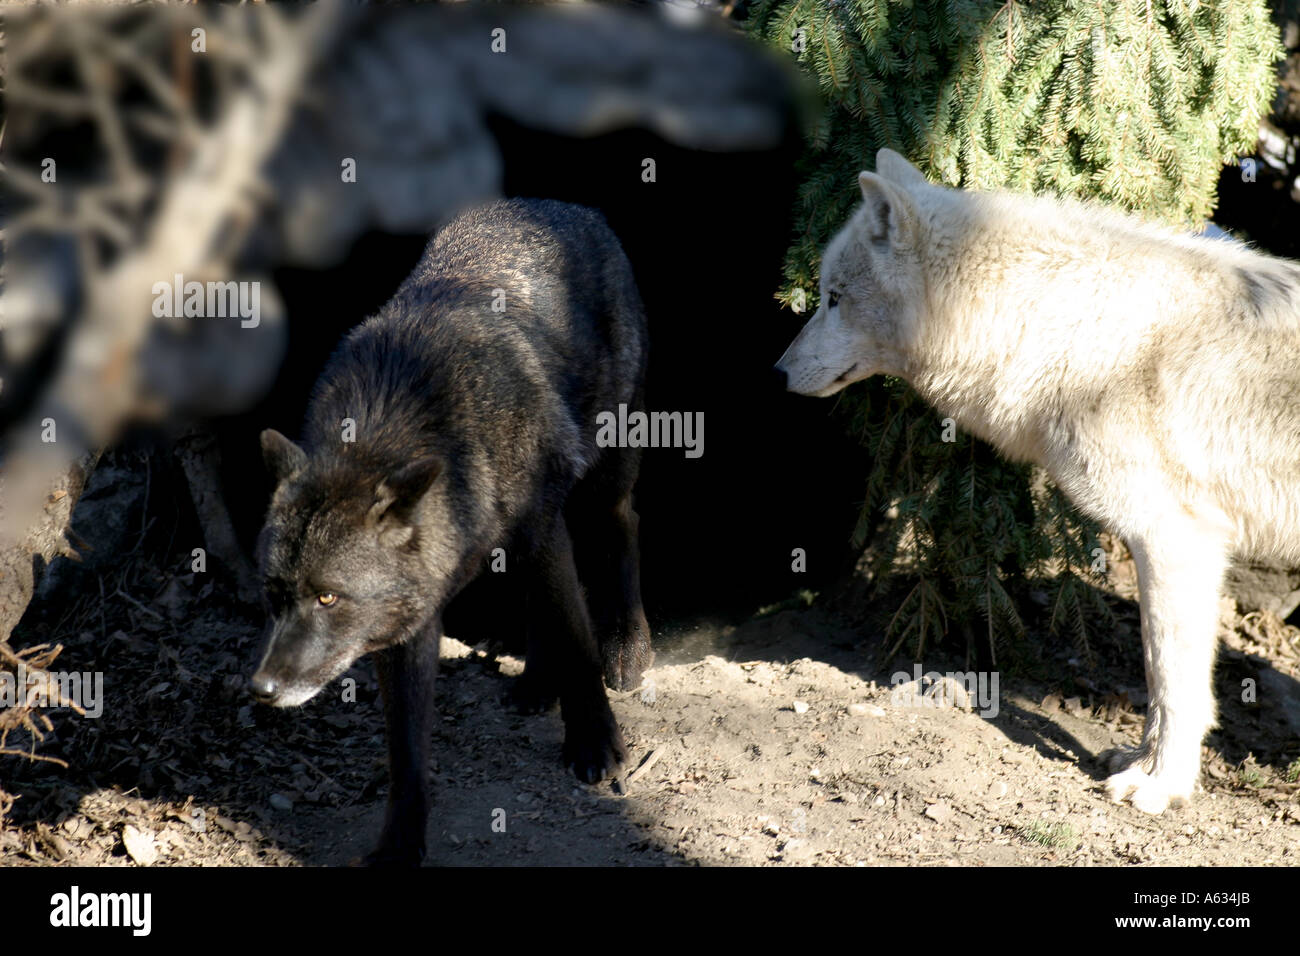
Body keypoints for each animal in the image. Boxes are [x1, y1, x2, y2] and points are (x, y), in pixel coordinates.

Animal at [249, 198, 652, 864]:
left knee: (621, 528)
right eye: (274, 596)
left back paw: (629, 651)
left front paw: (596, 744)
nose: (262, 687)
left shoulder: (541, 525)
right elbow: (407, 753)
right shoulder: (407, 623)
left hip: (607, 467)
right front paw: (399, 844)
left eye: (328, 596)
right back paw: (536, 683)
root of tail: (558, 206)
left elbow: (576, 634)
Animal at [775, 149, 1300, 814]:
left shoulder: (1176, 539)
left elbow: (1170, 677)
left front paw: (1161, 785)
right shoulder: (1175, 546)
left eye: (834, 298)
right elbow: (1160, 677)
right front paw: (1139, 761)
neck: (1076, 330)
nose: (777, 372)